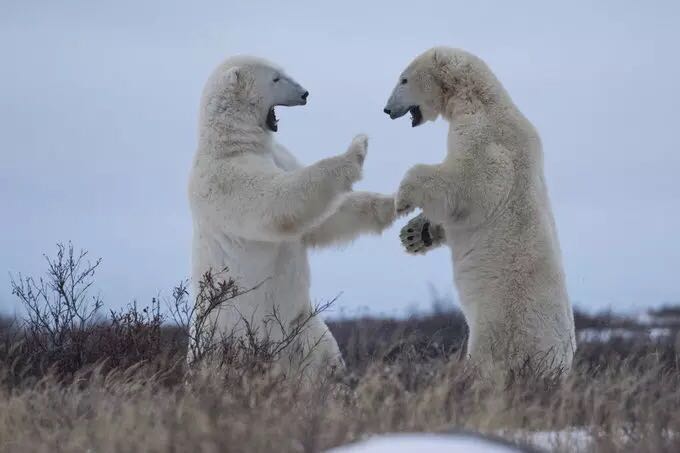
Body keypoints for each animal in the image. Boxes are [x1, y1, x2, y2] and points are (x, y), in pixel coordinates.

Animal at [188, 55, 396, 375]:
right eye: (276, 78)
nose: (305, 93)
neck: (230, 142)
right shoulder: (225, 178)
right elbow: (279, 200)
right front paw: (357, 147)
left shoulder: (279, 155)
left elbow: (323, 220)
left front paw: (394, 202)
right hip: (231, 334)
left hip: (303, 325)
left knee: (323, 351)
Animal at [383, 47, 576, 374]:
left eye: (404, 79)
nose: (386, 110)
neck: (481, 101)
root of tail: (559, 358)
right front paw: (414, 234)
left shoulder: (487, 138)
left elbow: (469, 185)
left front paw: (403, 198)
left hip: (502, 320)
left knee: (490, 358)